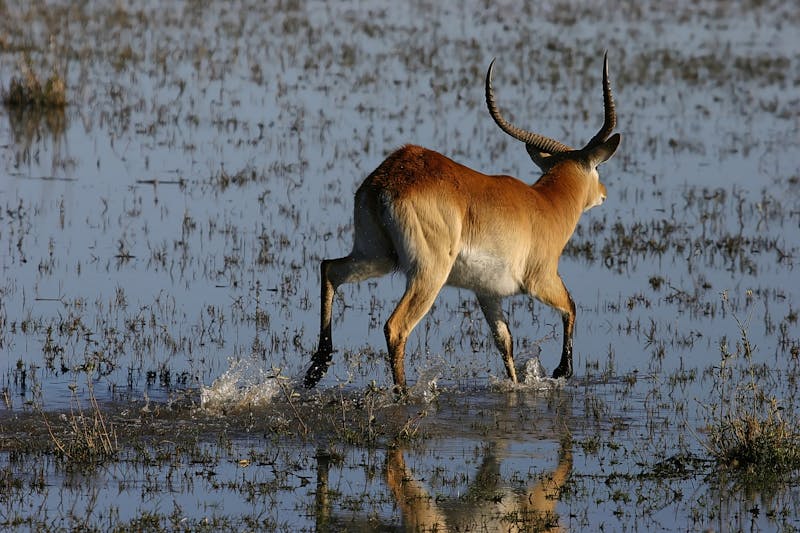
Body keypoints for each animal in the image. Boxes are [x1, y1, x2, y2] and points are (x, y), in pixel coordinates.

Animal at [304, 53, 620, 393]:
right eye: (597, 168)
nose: (604, 193)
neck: (545, 204)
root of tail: (387, 179)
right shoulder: (541, 278)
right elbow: (571, 306)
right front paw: (562, 370)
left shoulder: (487, 291)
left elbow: (505, 342)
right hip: (428, 273)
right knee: (395, 327)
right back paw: (402, 394)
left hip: (377, 256)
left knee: (330, 268)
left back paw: (316, 370)